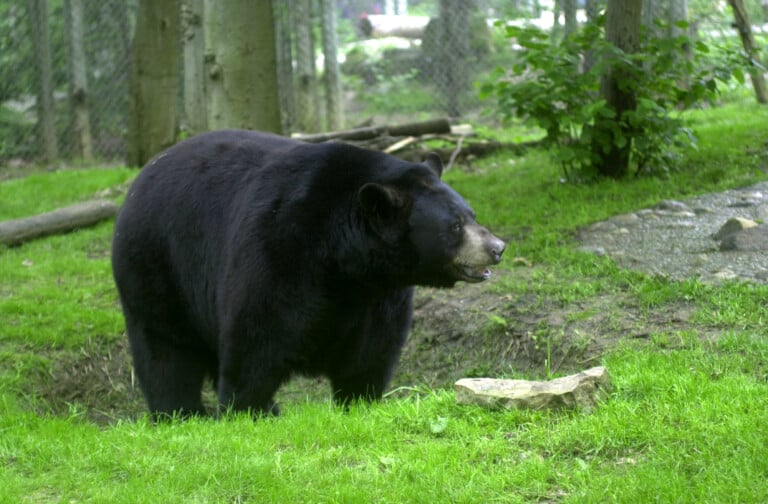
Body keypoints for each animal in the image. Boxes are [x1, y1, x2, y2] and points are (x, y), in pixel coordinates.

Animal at [111, 130, 505, 417]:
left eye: (470, 214)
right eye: (455, 226)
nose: (497, 247)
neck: (344, 264)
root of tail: (139, 180)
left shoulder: (379, 297)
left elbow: (371, 352)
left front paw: (359, 400)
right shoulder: (277, 248)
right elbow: (256, 340)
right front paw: (246, 409)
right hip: (156, 265)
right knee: (166, 353)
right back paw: (180, 412)